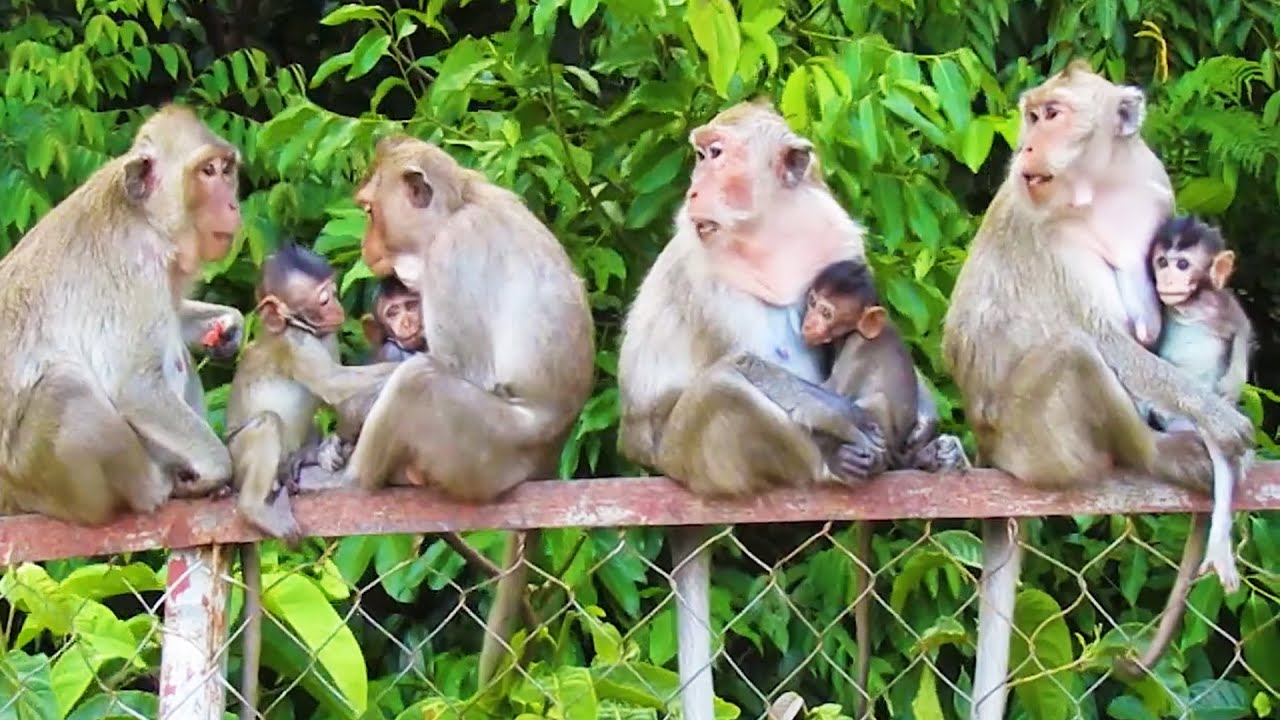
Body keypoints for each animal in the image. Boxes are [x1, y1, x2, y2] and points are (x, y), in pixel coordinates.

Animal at [0, 104, 243, 525]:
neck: (144, 217)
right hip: (50, 480)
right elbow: (134, 385)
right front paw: (217, 467)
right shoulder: (132, 265)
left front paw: (228, 327)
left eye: (227, 169)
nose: (232, 204)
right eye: (207, 171)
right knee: (64, 386)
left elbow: (173, 315)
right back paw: (154, 488)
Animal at [616, 99, 967, 720]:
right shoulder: (702, 261)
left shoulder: (837, 238)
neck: (770, 231)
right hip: (686, 456)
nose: (694, 189)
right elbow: (748, 360)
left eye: (715, 154)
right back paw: (836, 462)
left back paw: (926, 454)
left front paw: (925, 422)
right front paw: (855, 426)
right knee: (725, 391)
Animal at [941, 61, 1255, 719]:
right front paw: (1220, 424)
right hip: (1033, 445)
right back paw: (1159, 454)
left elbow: (1155, 326)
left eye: (1052, 115)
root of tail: (988, 447)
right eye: (1031, 115)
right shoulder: (1048, 231)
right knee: (1075, 354)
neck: (1101, 189)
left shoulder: (1155, 194)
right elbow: (1109, 338)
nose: (1025, 146)